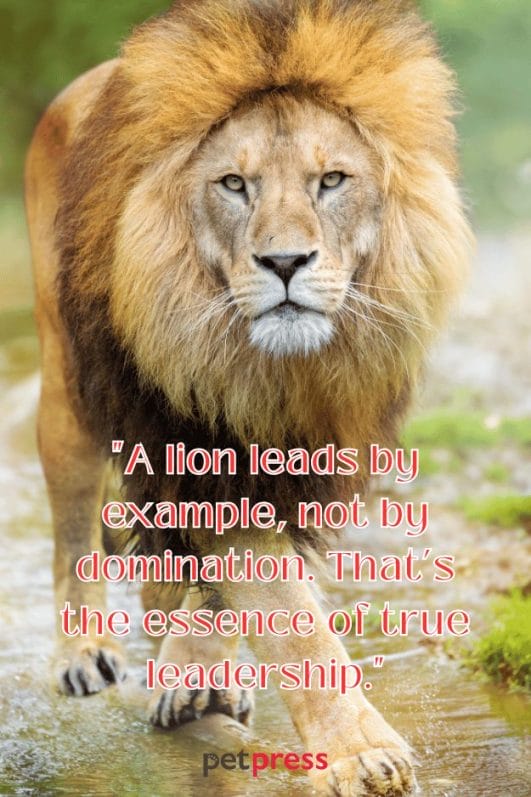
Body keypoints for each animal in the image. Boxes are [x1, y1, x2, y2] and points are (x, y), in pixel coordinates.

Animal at [25, 1, 472, 794]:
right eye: (234, 185)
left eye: (332, 180)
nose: (285, 261)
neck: (273, 371)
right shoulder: (195, 440)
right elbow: (293, 621)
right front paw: (362, 754)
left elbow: (241, 591)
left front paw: (198, 670)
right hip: (66, 376)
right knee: (73, 523)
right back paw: (82, 653)